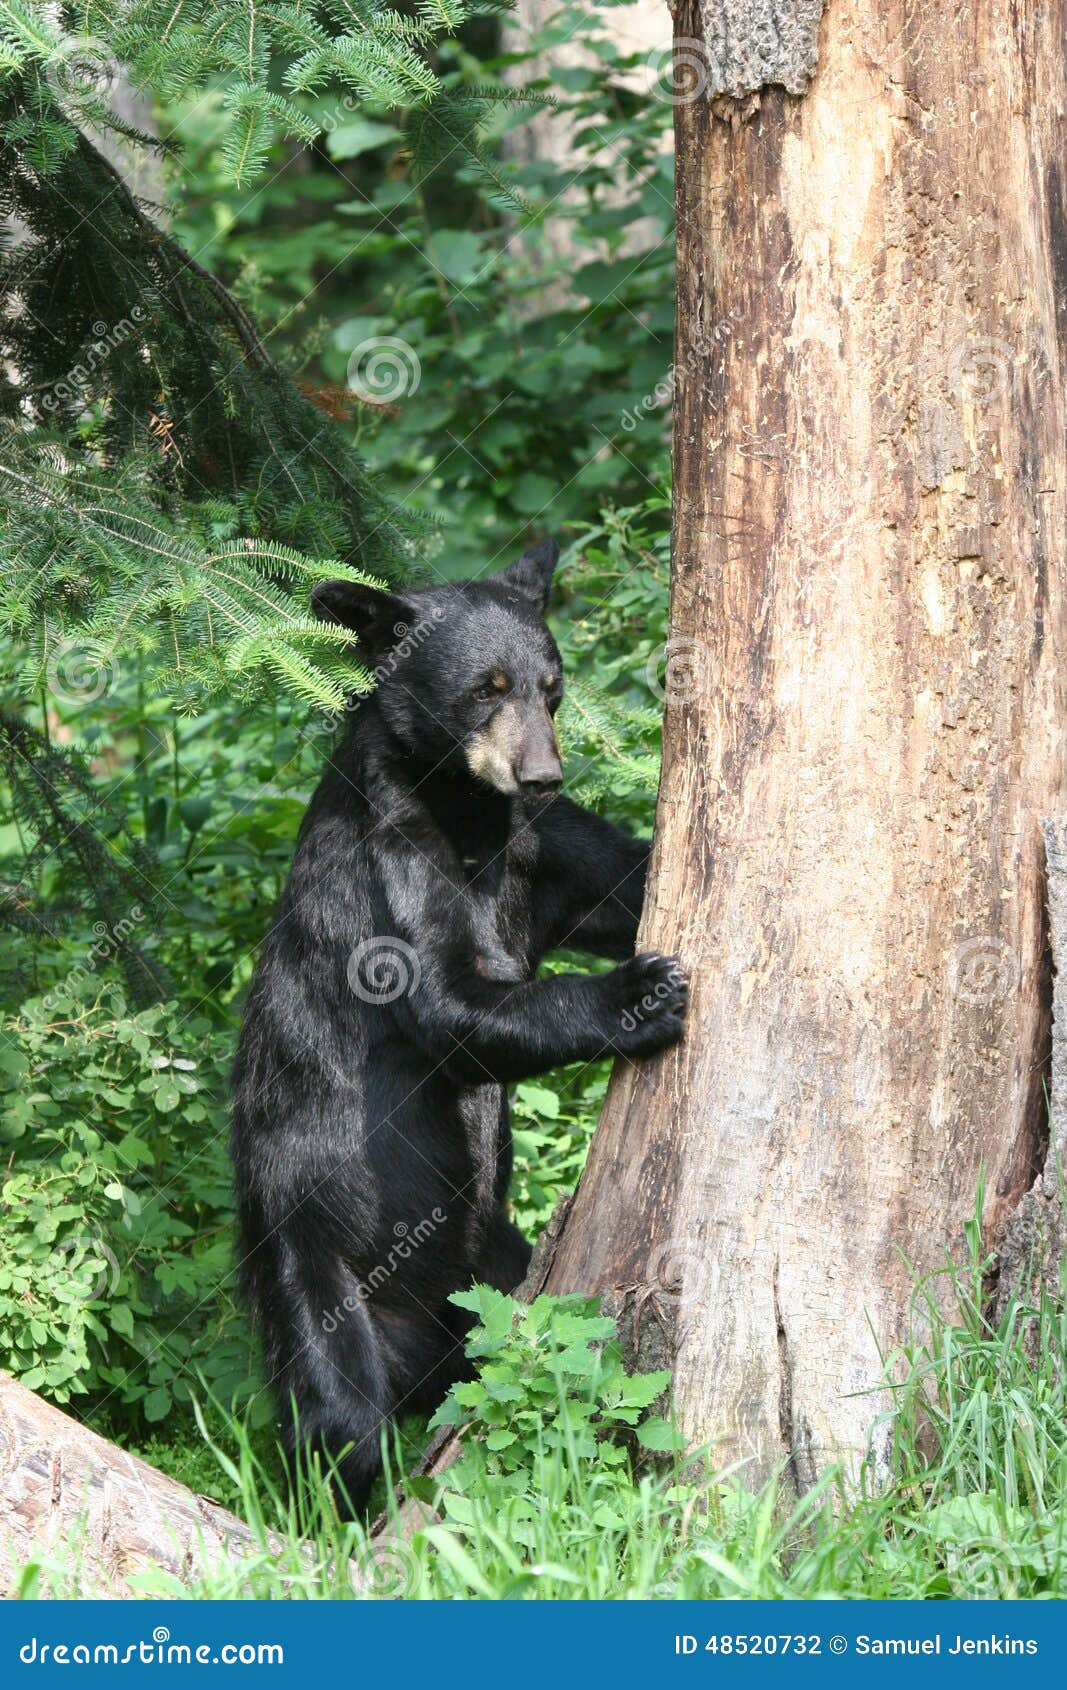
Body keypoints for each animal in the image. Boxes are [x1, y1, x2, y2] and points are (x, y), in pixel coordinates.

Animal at [230, 540, 688, 1514]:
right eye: (486, 686)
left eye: (552, 688)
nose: (543, 773)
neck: (469, 812)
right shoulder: (389, 862)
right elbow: (451, 1002)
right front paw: (640, 990)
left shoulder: (539, 848)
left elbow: (623, 880)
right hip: (310, 1266)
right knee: (337, 1418)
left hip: (500, 1268)